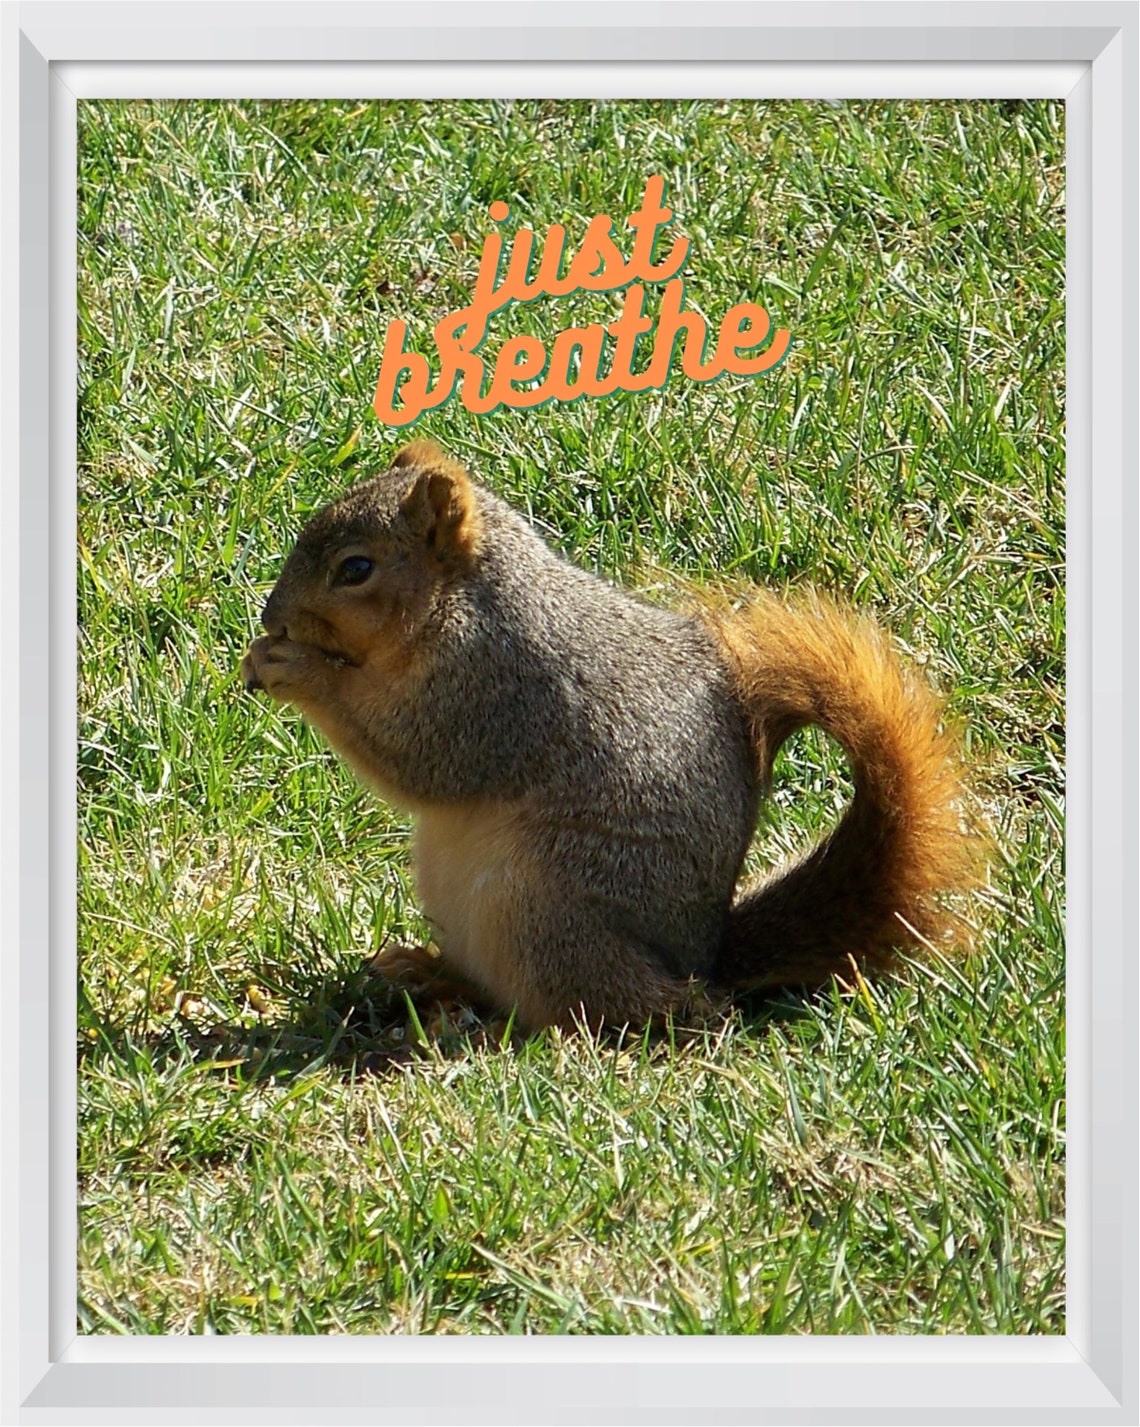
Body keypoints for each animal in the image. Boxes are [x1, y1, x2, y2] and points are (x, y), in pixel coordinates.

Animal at [242, 440, 978, 1033]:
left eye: (355, 569)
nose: (273, 616)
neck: (468, 599)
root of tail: (698, 962)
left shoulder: (492, 689)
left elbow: (419, 758)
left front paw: (298, 671)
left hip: (544, 912)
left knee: (607, 1009)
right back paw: (424, 971)